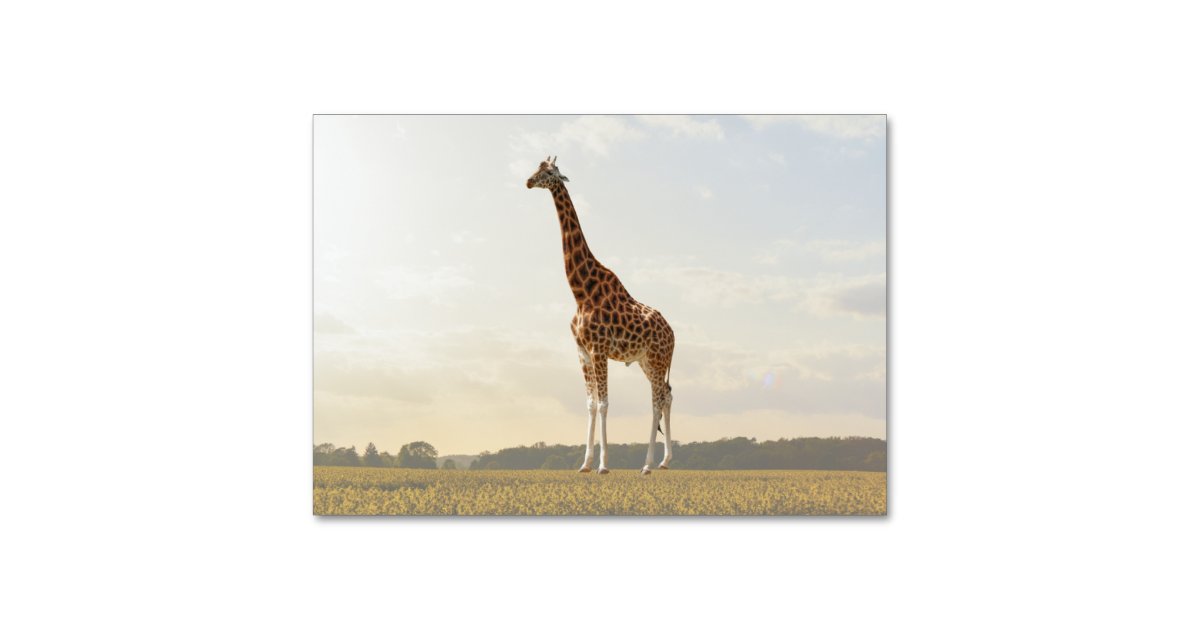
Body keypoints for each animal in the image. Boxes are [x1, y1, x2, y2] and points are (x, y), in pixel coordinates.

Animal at [527, 156, 675, 475]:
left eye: (549, 172)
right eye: (537, 167)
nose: (528, 181)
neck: (581, 291)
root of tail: (673, 334)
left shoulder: (599, 349)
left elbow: (605, 403)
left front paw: (604, 466)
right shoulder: (582, 352)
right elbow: (591, 404)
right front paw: (585, 464)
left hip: (657, 360)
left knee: (656, 401)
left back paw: (647, 465)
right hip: (647, 361)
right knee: (667, 395)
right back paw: (665, 461)